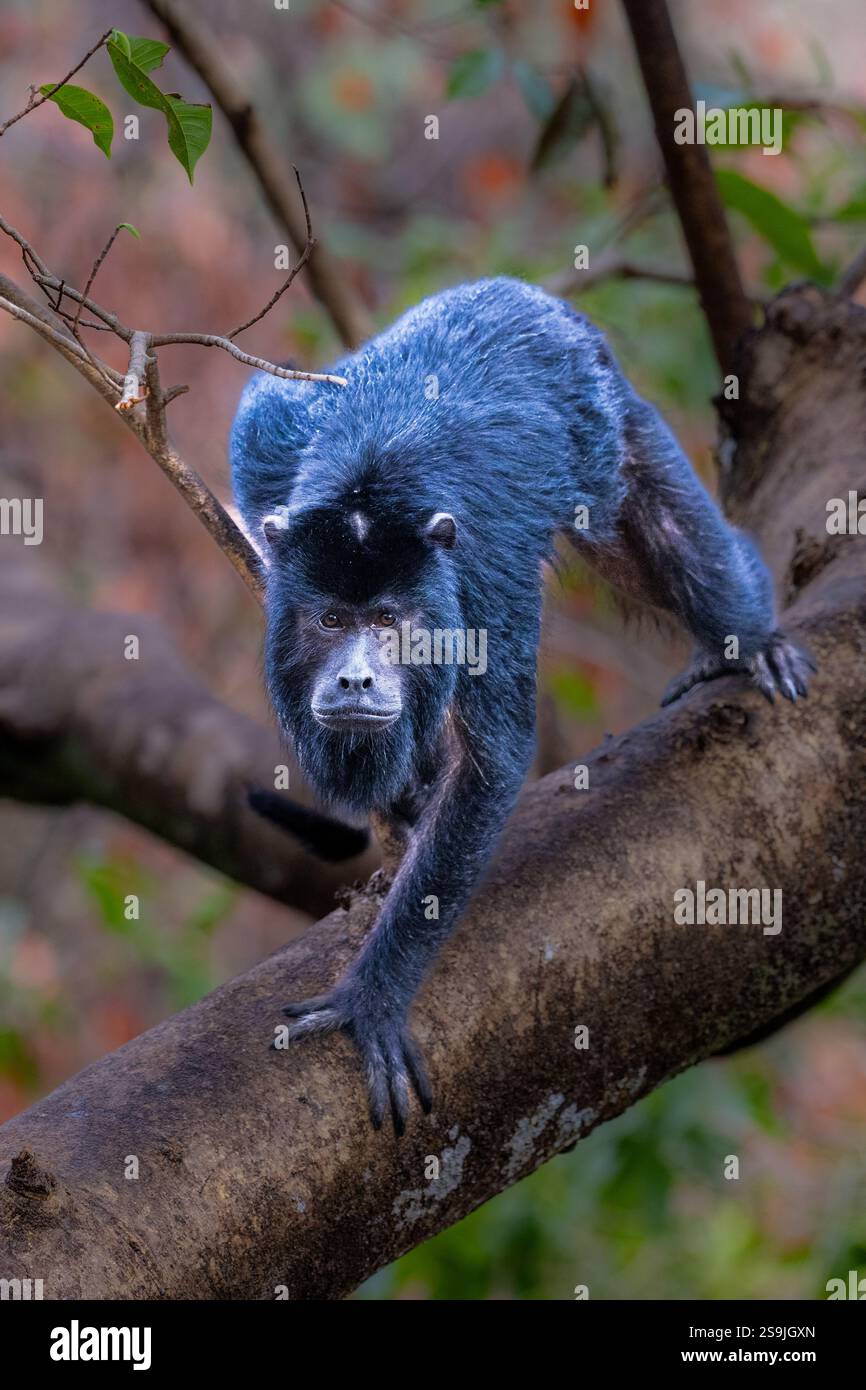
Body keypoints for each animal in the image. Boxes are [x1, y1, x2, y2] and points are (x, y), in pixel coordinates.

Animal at [230, 276, 814, 1134]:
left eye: (388, 620)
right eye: (332, 620)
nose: (356, 680)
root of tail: (522, 296)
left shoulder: (478, 575)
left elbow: (492, 760)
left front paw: (372, 999)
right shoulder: (273, 450)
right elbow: (258, 425)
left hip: (605, 415)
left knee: (684, 552)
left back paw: (752, 634)